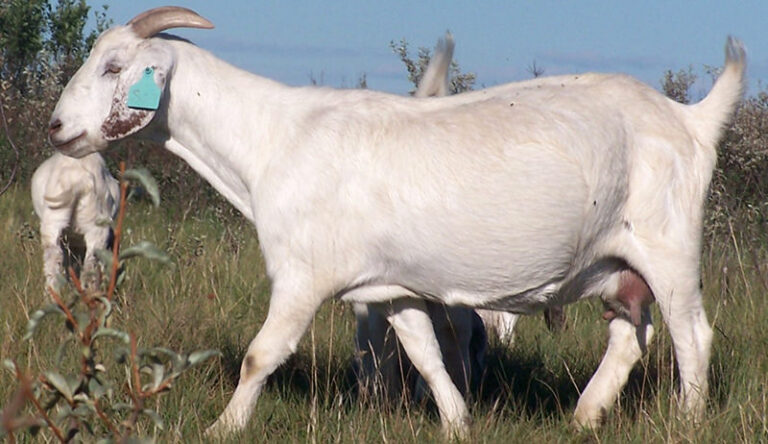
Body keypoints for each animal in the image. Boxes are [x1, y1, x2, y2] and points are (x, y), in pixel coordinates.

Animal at [48, 7, 746, 437]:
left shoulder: (302, 274)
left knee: (692, 335)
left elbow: (260, 356)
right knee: (630, 332)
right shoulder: (391, 284)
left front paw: (224, 425)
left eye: (113, 67)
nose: (57, 127)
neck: (273, 138)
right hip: (616, 262)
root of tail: (691, 119)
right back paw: (584, 416)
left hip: (668, 245)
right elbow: (425, 353)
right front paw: (459, 422)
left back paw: (686, 421)